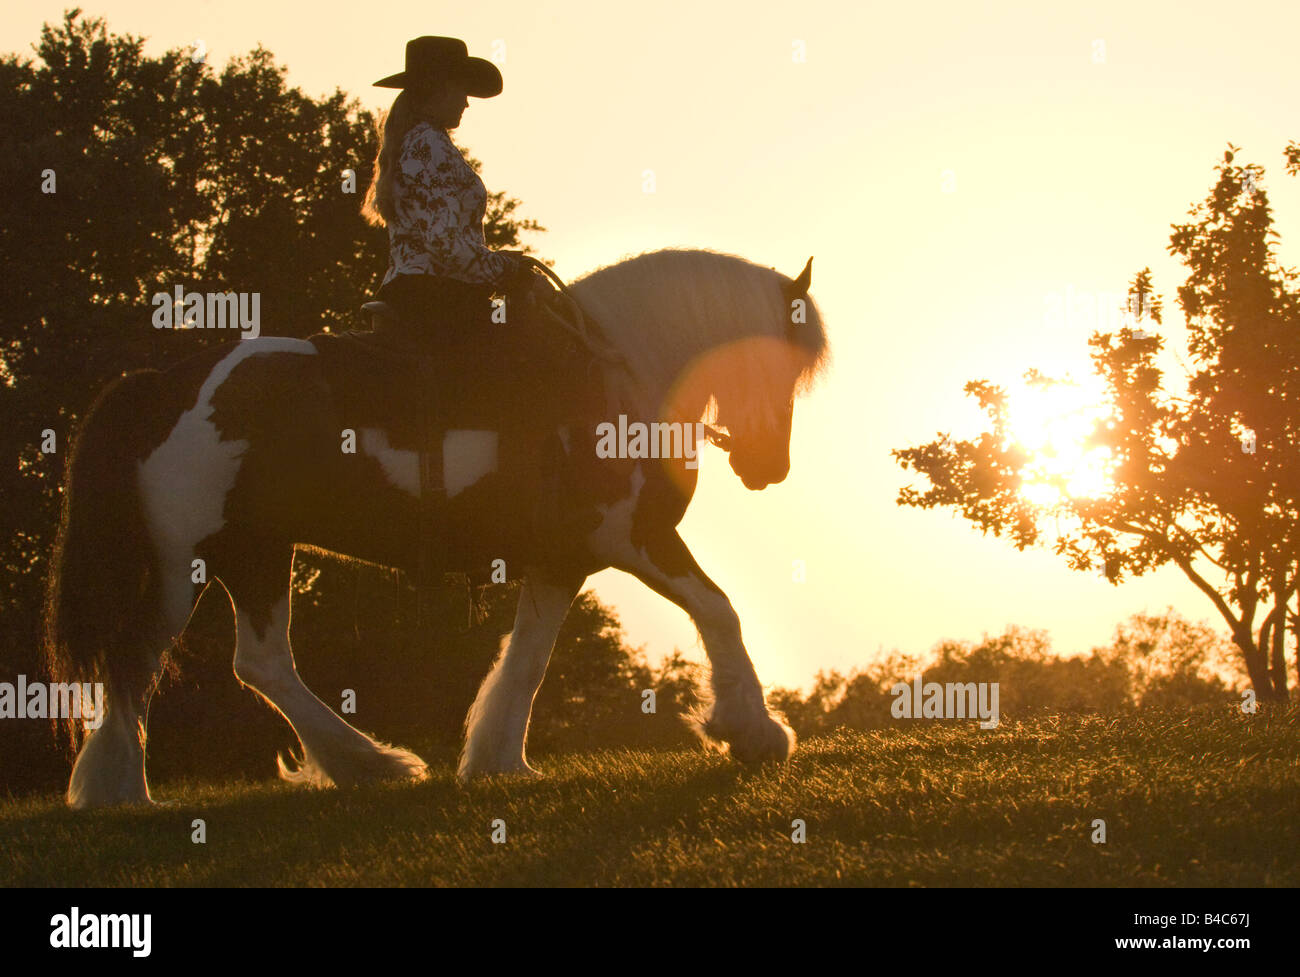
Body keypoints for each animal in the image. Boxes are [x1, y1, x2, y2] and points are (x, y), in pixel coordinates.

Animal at [42, 247, 830, 809]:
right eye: (779, 367)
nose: (770, 467)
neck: (619, 375)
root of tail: (163, 383)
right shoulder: (633, 539)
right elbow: (719, 610)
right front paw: (753, 732)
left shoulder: (561, 561)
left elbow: (527, 660)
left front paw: (497, 761)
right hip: (200, 562)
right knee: (146, 659)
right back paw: (137, 789)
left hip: (246, 556)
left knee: (243, 663)